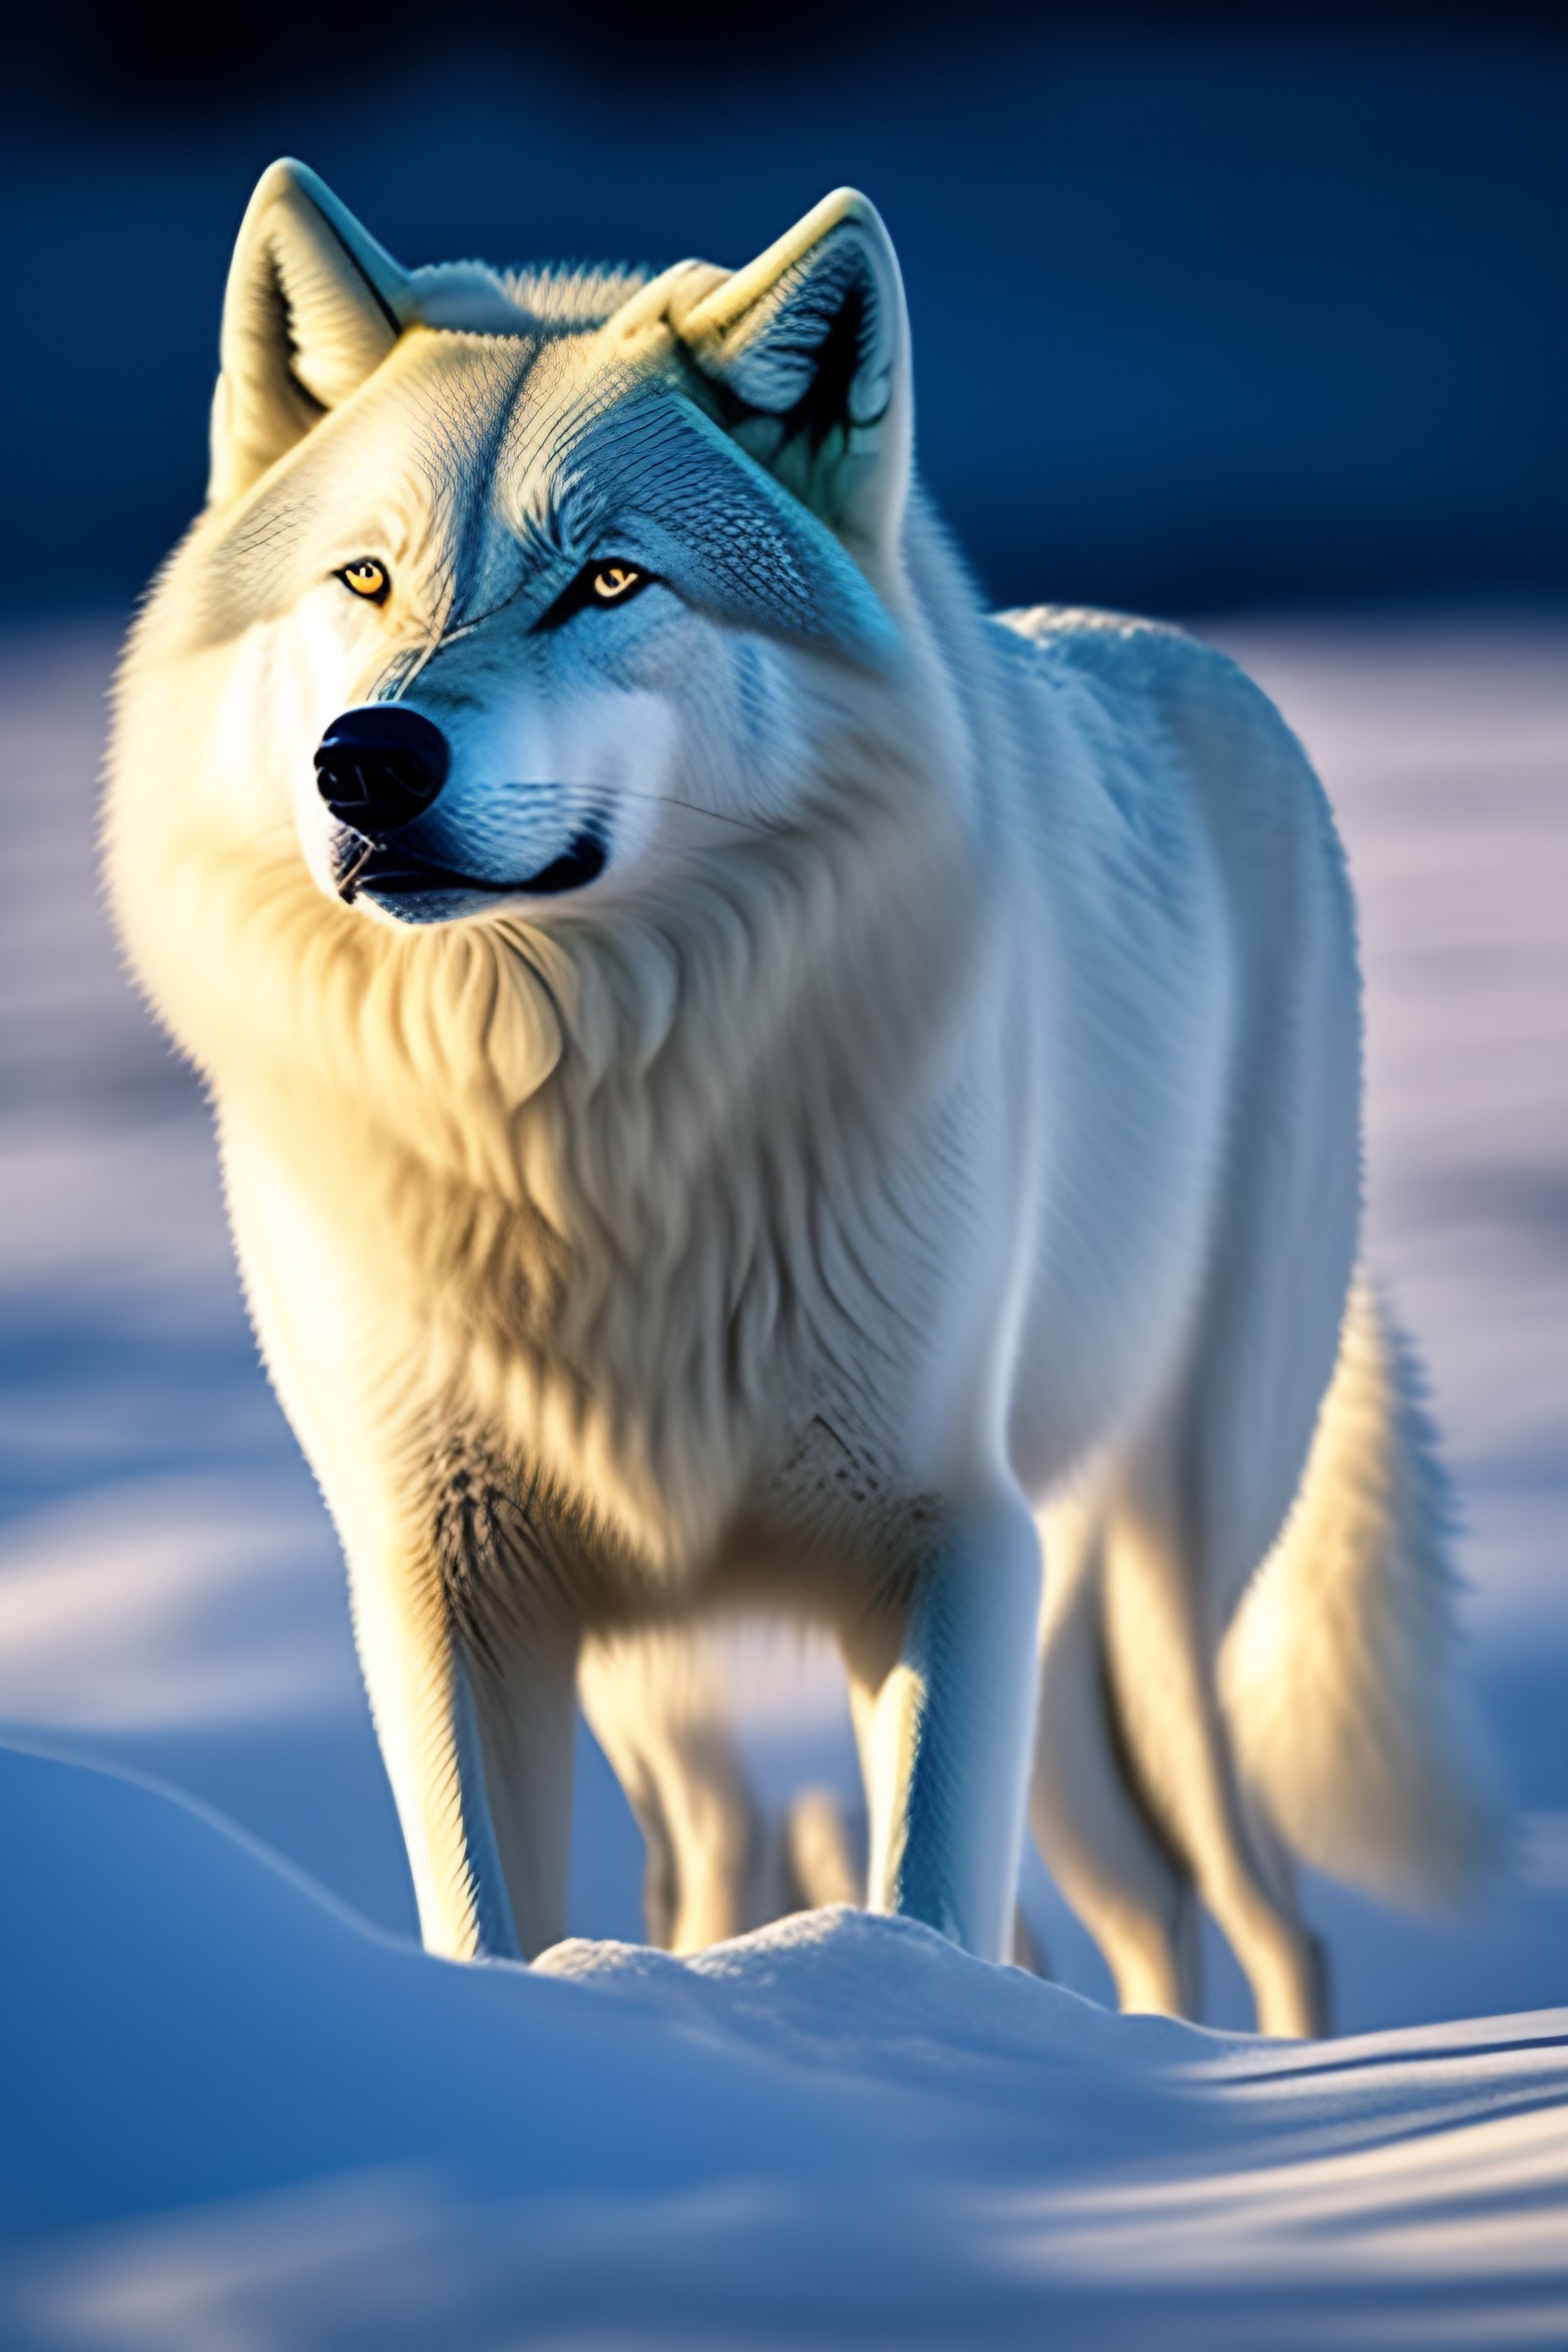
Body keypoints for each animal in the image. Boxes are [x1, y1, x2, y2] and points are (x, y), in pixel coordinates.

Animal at [107, 160, 1501, 2033]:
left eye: (609, 579)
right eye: (366, 575)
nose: (368, 761)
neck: (581, 1134)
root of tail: (1180, 655)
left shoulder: (953, 1540)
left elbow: (924, 1904)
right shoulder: (443, 1572)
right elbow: (489, 1926)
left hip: (1153, 1578)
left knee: (1254, 1910)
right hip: (714, 1683)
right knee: (941, 1890)